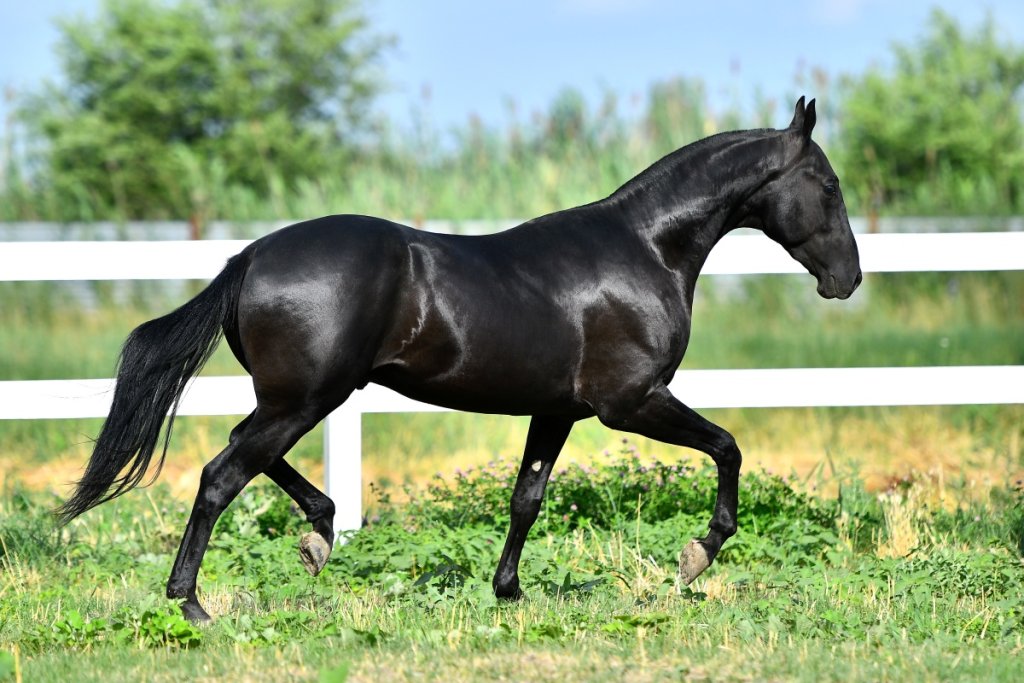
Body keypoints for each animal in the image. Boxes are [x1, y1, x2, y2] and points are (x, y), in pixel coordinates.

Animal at [57, 97, 861, 623]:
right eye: (827, 185)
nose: (847, 279)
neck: (645, 250)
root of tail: (248, 258)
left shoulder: (557, 411)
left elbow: (526, 497)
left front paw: (508, 592)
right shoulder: (630, 402)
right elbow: (728, 446)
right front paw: (698, 554)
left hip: (297, 396)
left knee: (244, 456)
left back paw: (317, 537)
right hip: (306, 398)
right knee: (222, 474)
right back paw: (193, 603)